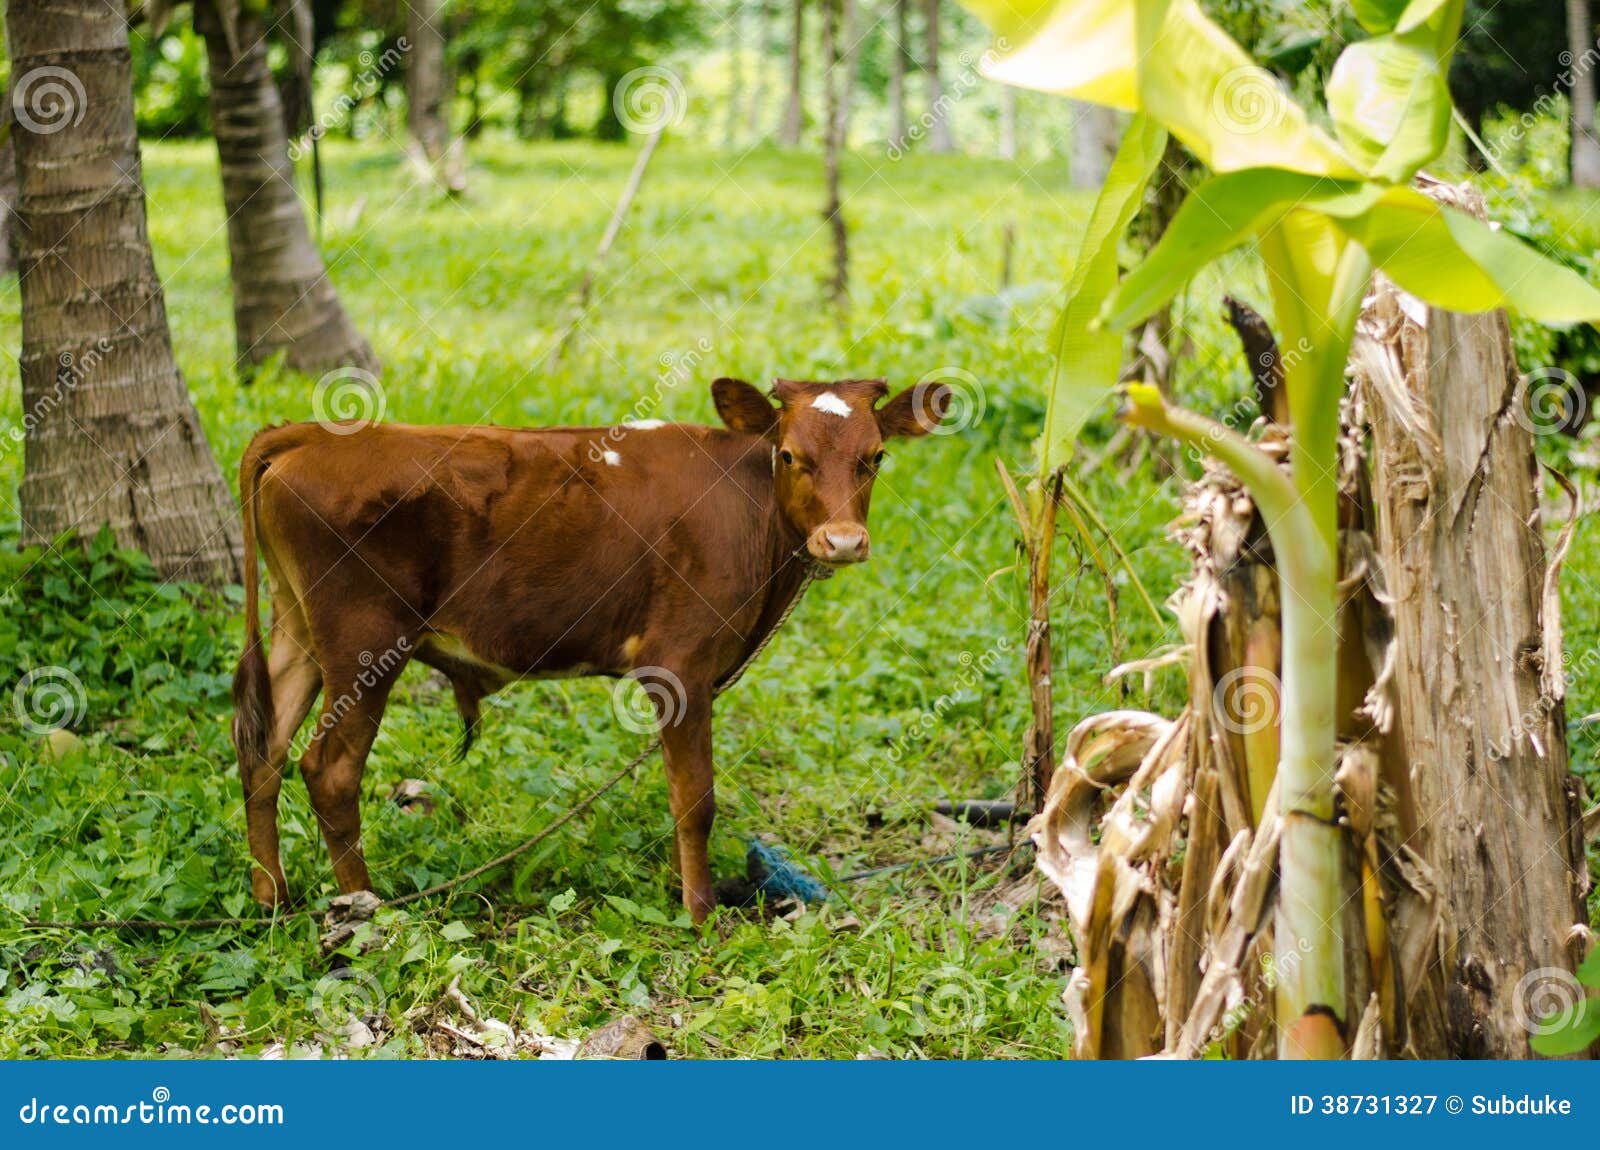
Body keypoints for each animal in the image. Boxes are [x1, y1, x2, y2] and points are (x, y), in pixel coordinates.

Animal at [231, 376, 949, 922]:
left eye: (875, 456)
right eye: (791, 455)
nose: (843, 540)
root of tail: (308, 432)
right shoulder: (681, 663)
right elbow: (696, 800)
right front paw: (700, 915)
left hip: (298, 632)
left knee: (262, 752)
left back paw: (272, 898)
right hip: (365, 642)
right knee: (328, 770)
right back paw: (365, 910)